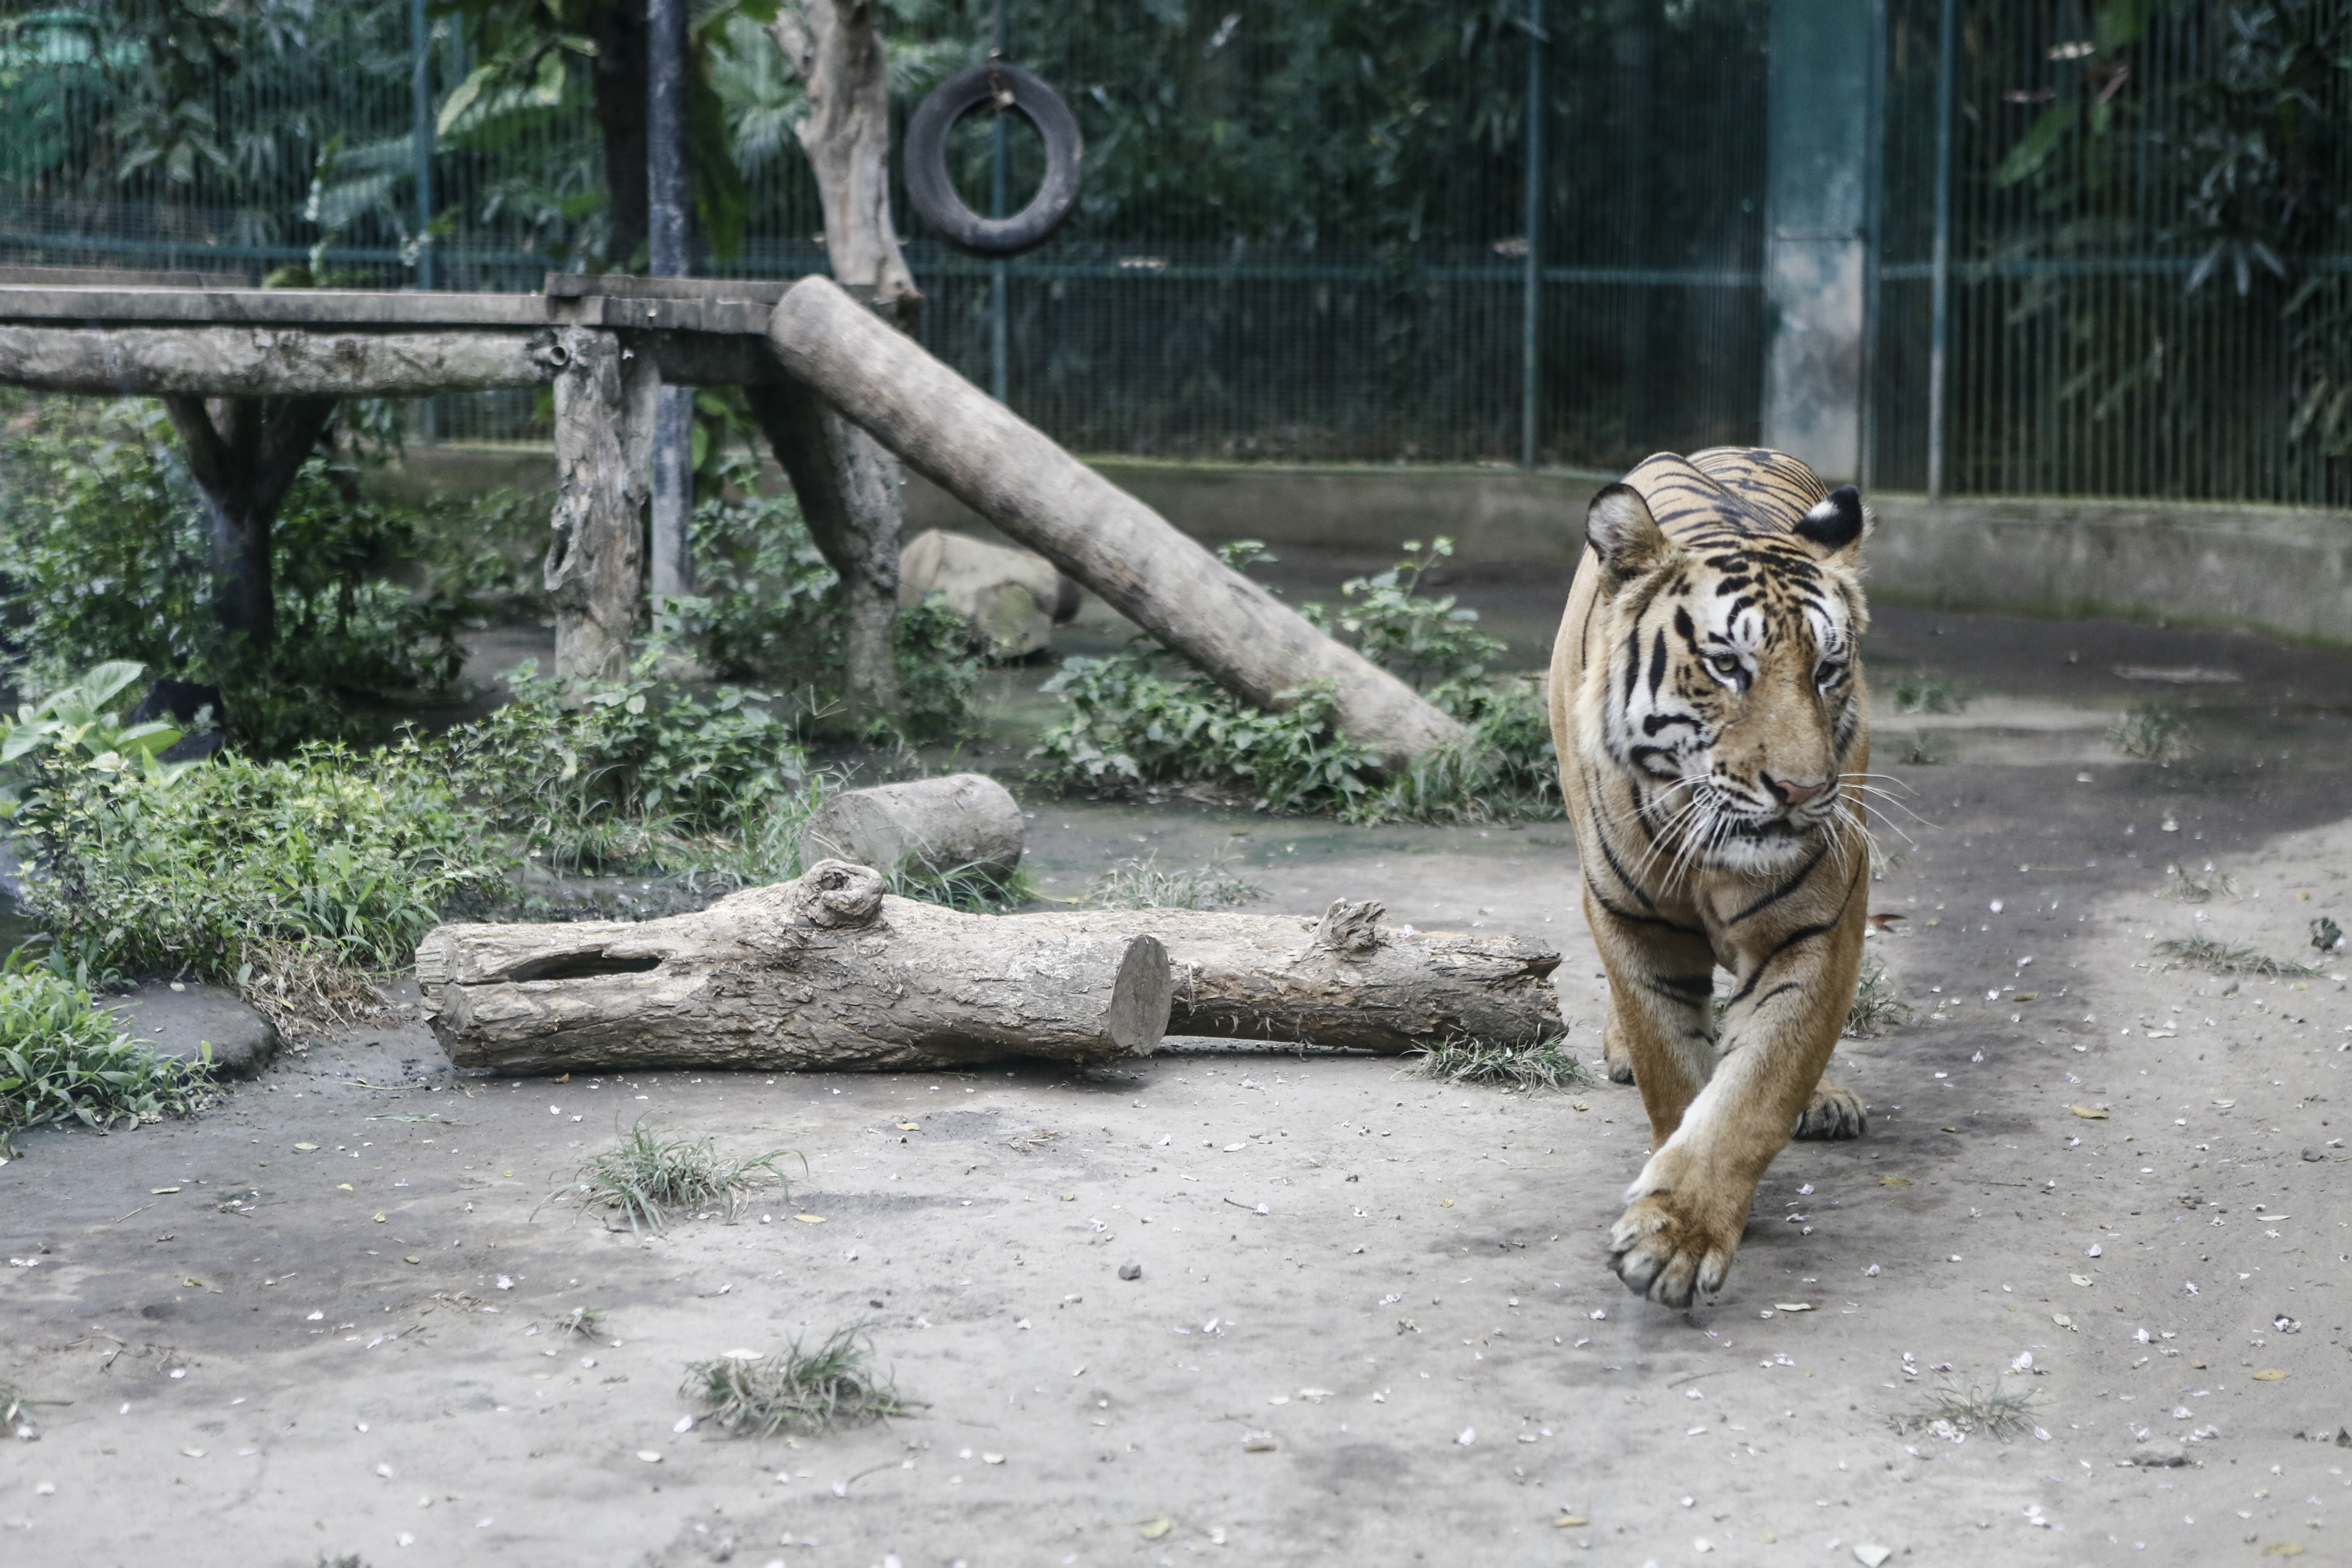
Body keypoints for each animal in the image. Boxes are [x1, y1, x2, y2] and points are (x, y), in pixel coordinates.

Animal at [1546, 446, 1874, 1309]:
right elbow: (1675, 1071)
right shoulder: (1634, 921)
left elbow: (1757, 1088)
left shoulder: (1819, 925)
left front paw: (1679, 1237)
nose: (1799, 789)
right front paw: (1677, 1220)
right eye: (1728, 666)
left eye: (1828, 669)